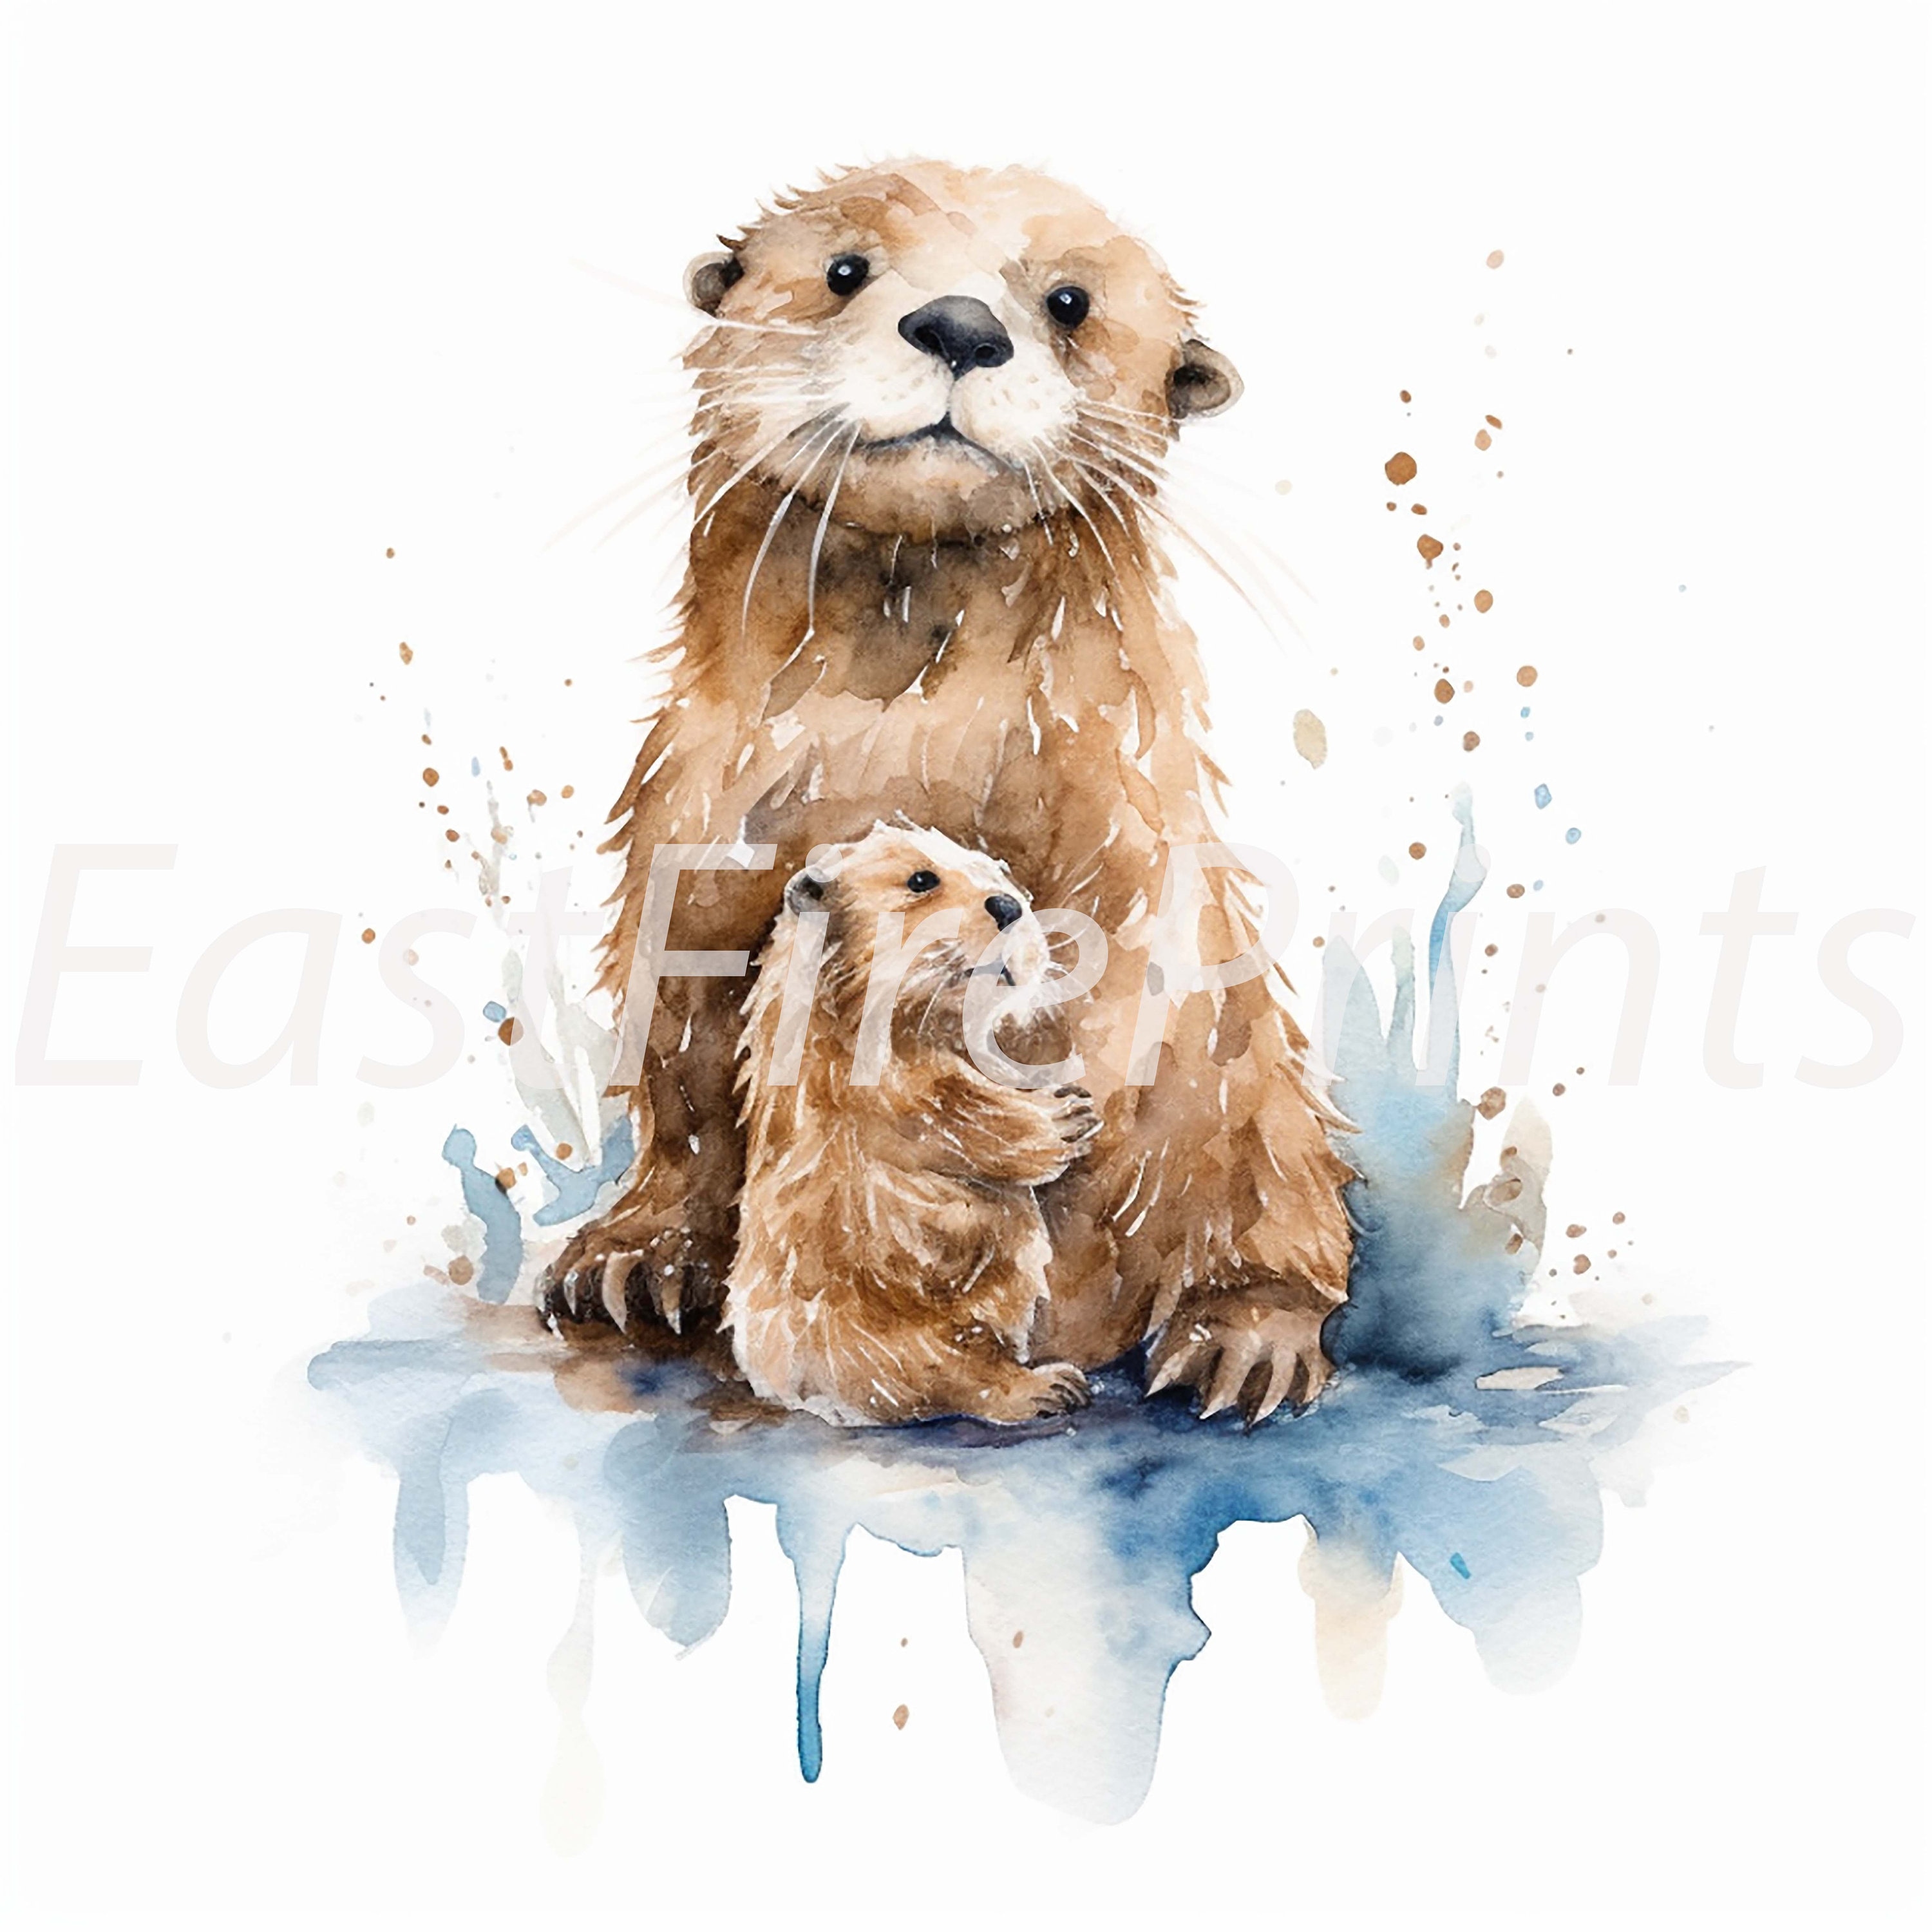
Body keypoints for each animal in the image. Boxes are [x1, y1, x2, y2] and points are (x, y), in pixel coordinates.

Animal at [726, 823, 1098, 1426]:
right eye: (921, 879)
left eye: (998, 873)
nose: (1009, 905)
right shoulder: (872, 1079)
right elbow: (950, 1111)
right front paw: (1068, 1113)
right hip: (889, 1341)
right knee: (949, 1378)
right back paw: (1050, 1386)